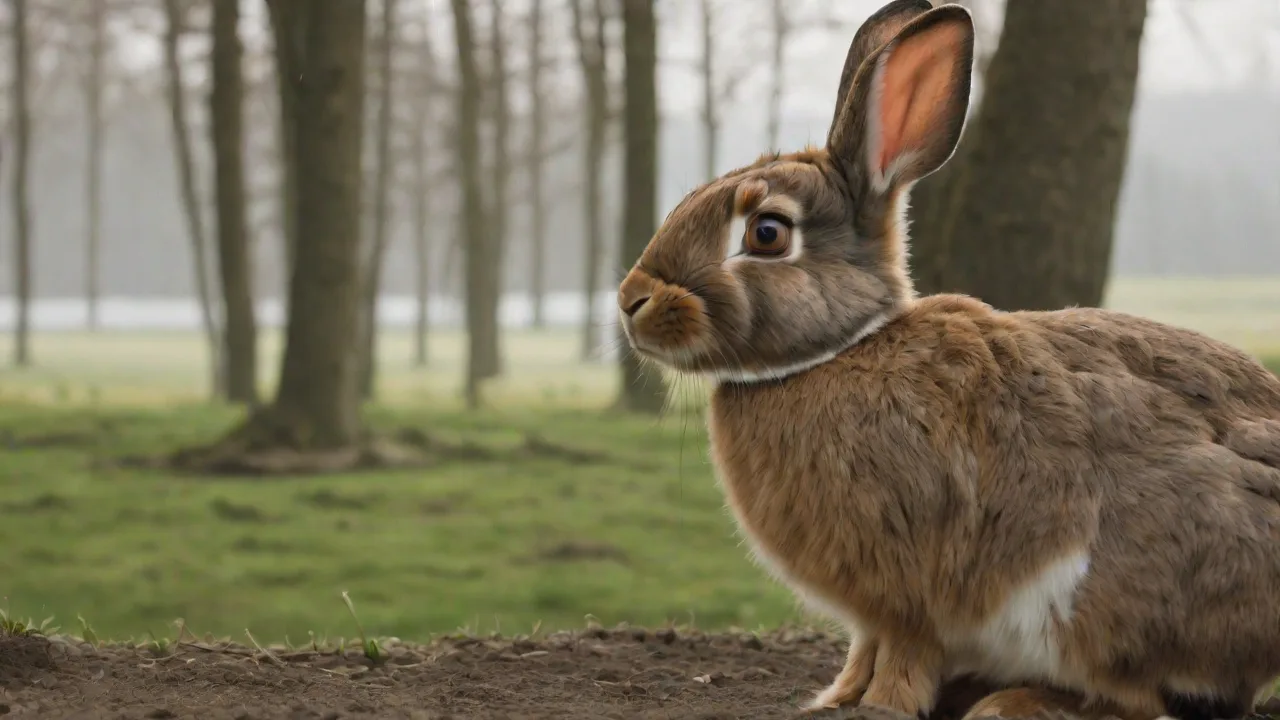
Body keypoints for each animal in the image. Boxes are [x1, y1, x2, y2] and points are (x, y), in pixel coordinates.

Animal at [615, 1, 1280, 719]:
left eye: (766, 233)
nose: (630, 301)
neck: (841, 350)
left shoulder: (910, 590)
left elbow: (903, 648)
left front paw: (881, 704)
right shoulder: (874, 611)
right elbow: (864, 647)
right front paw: (834, 697)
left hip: (1110, 596)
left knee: (1135, 698)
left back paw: (1012, 702)